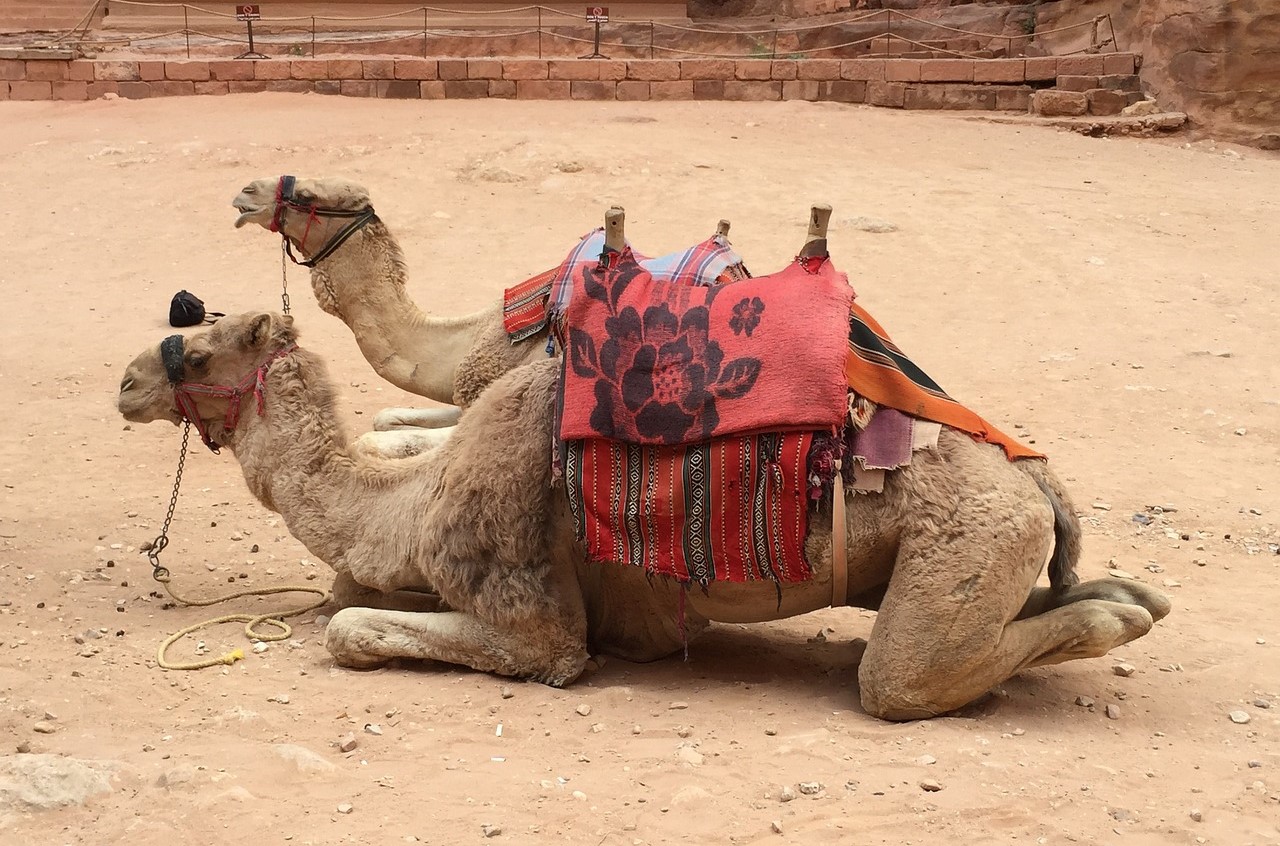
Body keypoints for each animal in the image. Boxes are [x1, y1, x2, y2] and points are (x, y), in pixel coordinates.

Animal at [117, 312, 1171, 720]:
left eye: (200, 348)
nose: (127, 382)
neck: (404, 503)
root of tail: (1035, 480)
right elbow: (344, 595)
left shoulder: (534, 617)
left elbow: (350, 628)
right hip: (998, 541)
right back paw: (1134, 596)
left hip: (966, 542)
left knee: (901, 679)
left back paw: (1118, 619)